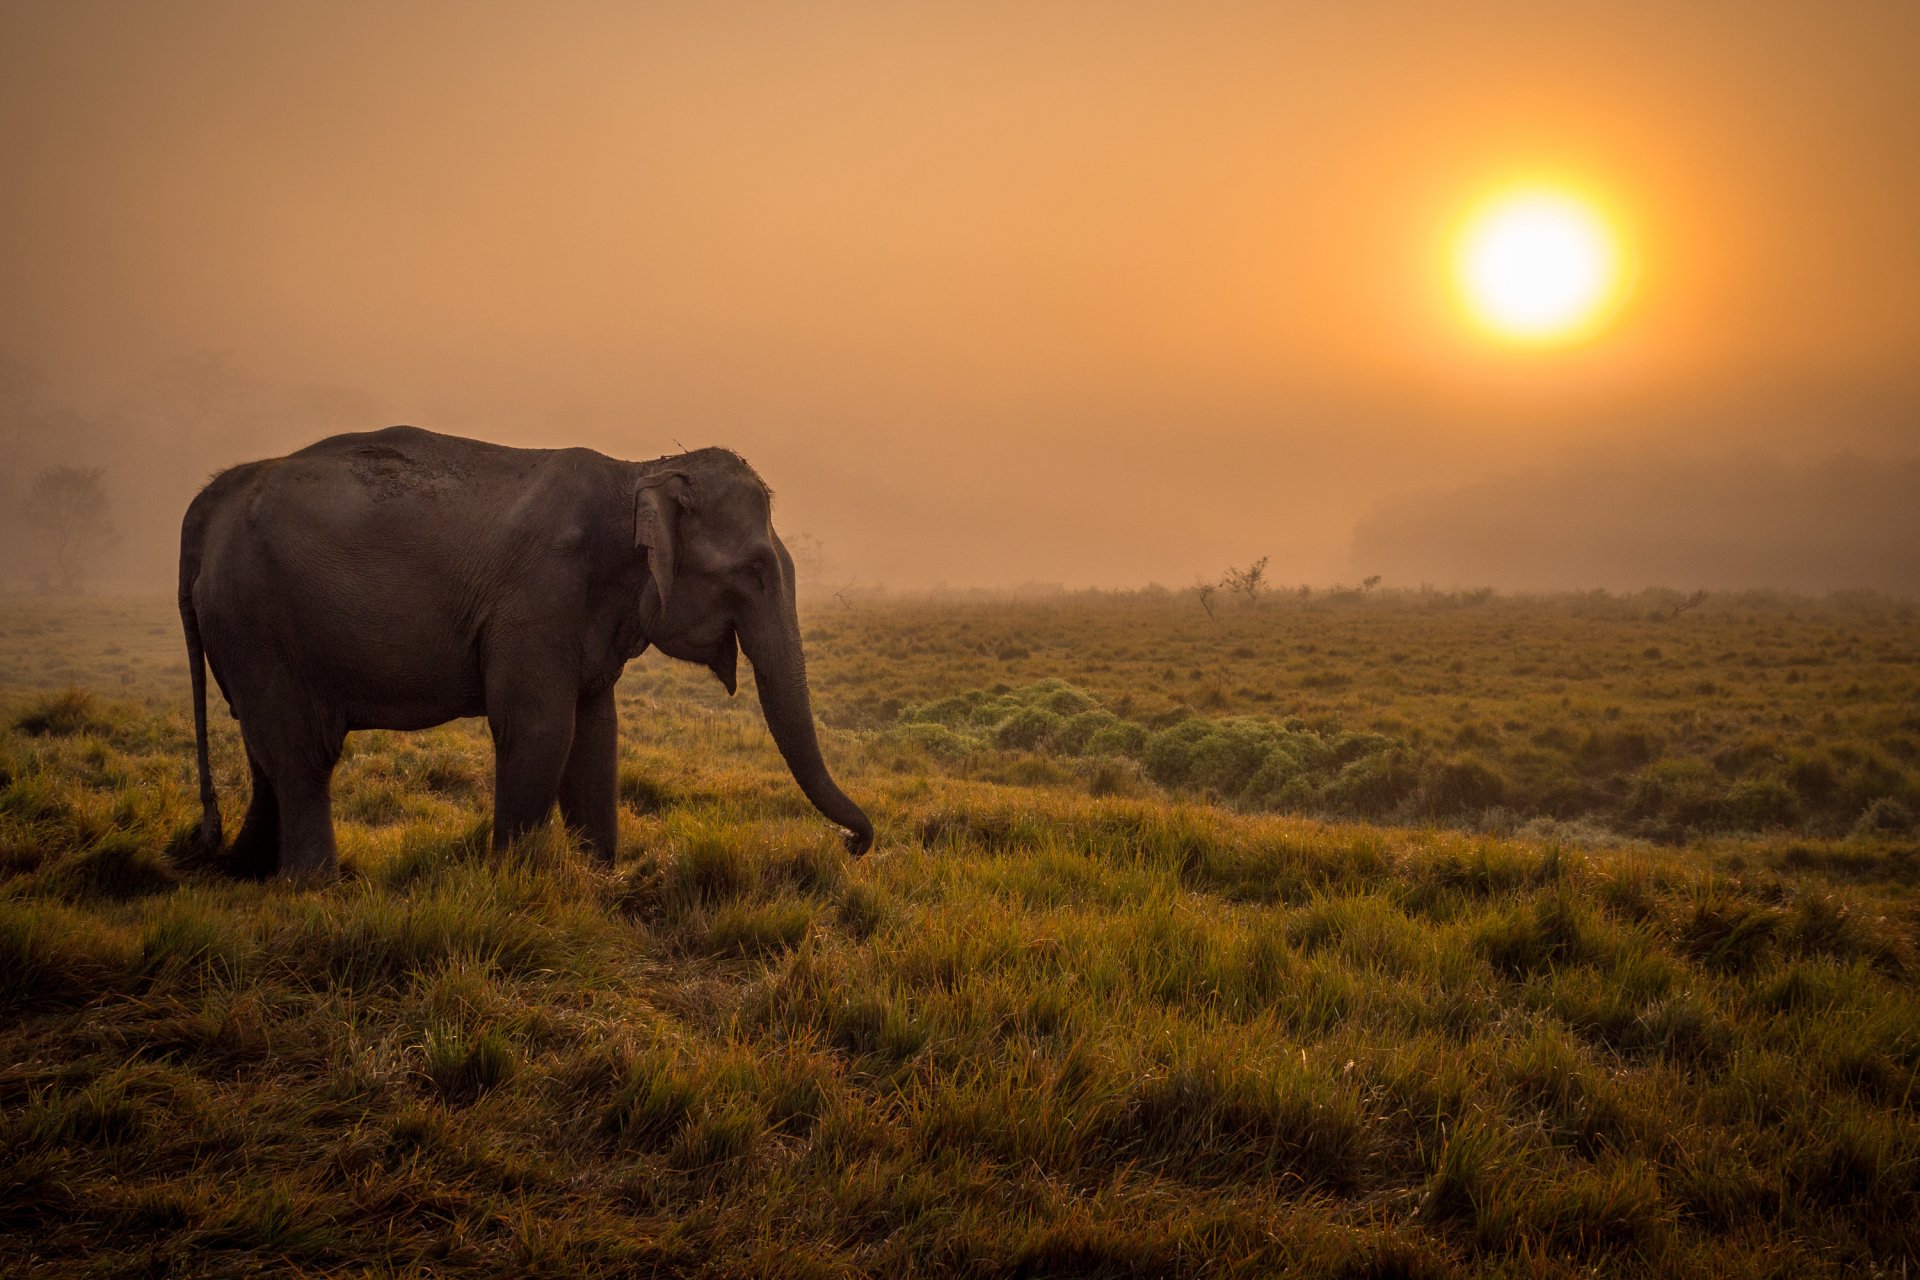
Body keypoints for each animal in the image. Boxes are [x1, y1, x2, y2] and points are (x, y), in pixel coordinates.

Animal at [178, 425, 872, 879]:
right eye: (755, 571)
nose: (851, 843)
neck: (637, 471)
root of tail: (213, 496)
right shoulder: (537, 598)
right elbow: (540, 729)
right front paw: (510, 884)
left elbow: (595, 734)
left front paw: (602, 881)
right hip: (260, 621)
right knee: (302, 752)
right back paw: (316, 887)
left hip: (244, 631)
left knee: (265, 747)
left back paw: (245, 871)